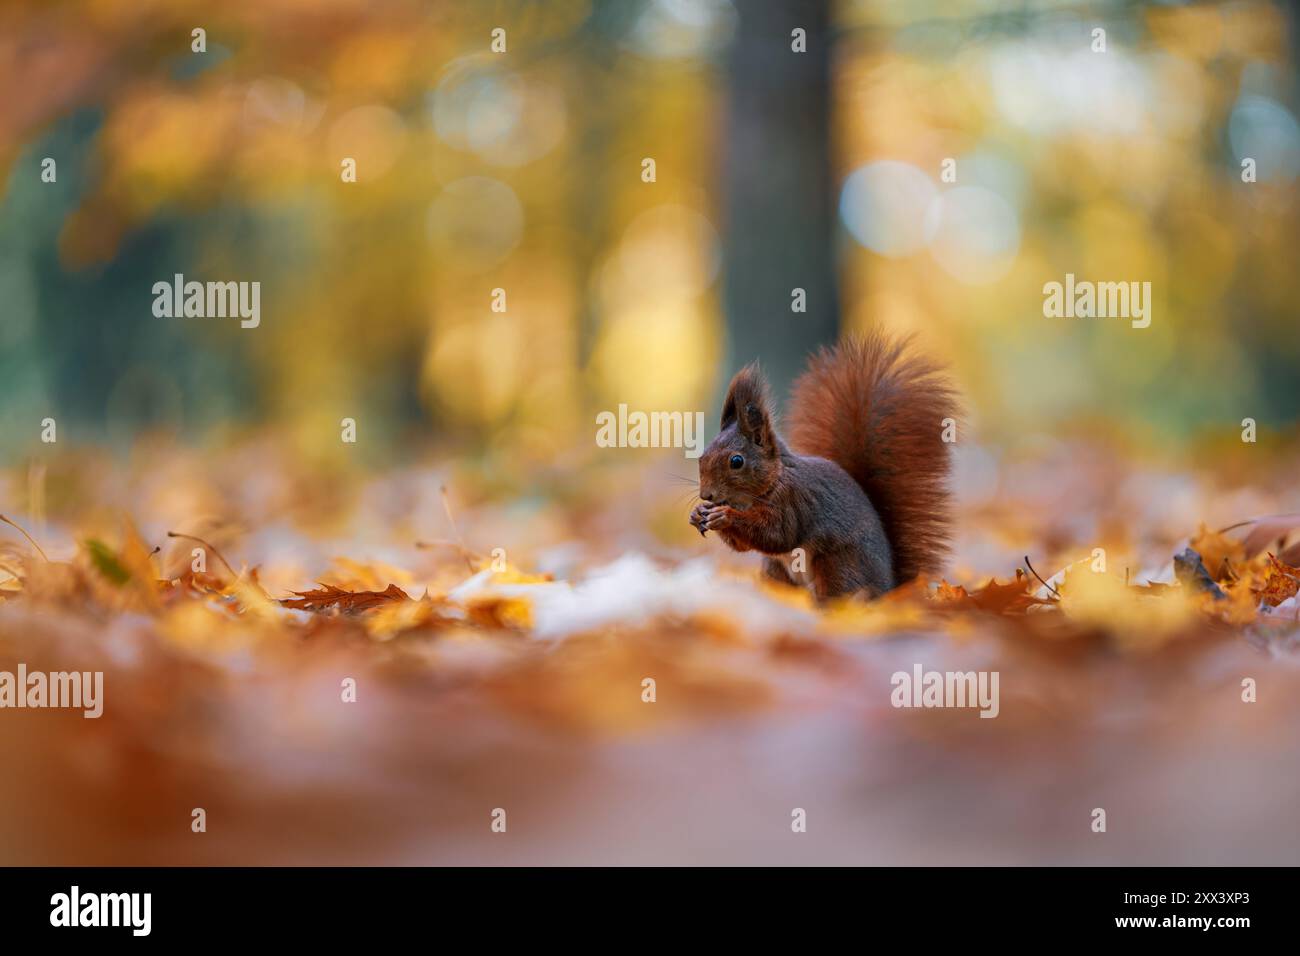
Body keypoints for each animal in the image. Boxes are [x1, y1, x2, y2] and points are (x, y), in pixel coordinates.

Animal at [689, 330, 958, 600]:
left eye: (737, 461)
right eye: (701, 456)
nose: (706, 495)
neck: (774, 479)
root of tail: (889, 590)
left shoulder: (794, 500)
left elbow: (776, 535)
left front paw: (724, 516)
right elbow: (744, 545)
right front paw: (698, 513)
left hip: (837, 566)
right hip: (775, 569)